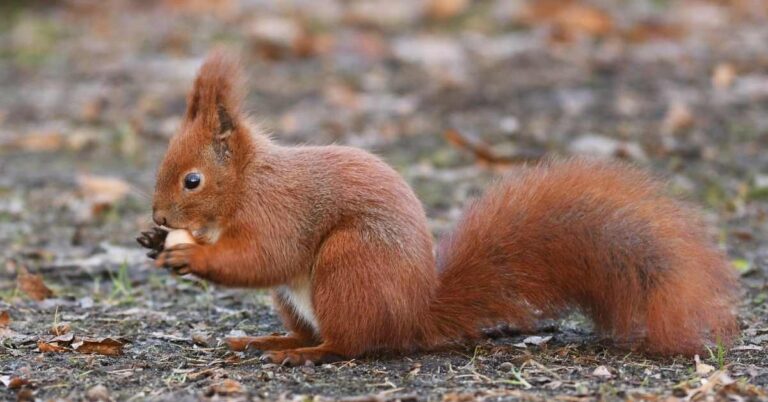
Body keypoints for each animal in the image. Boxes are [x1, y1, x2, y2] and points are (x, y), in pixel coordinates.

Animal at [137, 51, 739, 366]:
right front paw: (152, 242)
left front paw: (190, 256)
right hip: (298, 297)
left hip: (348, 266)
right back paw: (269, 339)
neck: (245, 183)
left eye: (192, 180)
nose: (161, 218)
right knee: (313, 331)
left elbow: (262, 257)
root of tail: (413, 314)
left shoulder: (278, 212)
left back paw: (302, 355)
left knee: (350, 344)